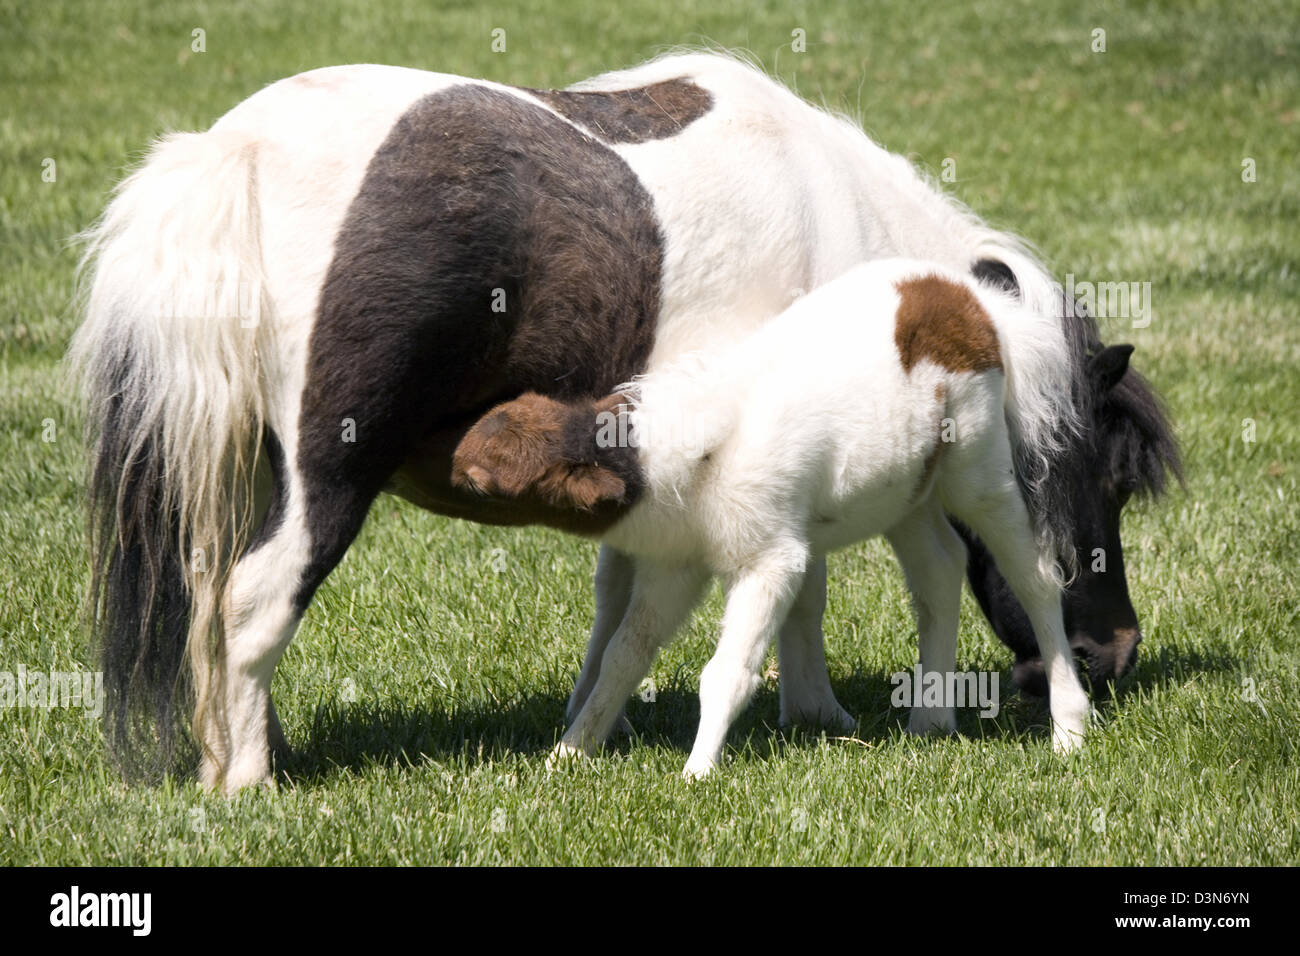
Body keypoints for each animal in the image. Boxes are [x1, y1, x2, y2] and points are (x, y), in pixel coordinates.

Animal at [451, 258, 1106, 776]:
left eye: (485, 481)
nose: (451, 468)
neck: (689, 458)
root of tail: (981, 306)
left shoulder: (770, 562)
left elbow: (727, 671)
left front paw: (696, 772)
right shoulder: (673, 569)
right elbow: (624, 655)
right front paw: (569, 753)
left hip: (979, 473)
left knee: (1035, 576)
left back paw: (1069, 727)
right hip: (907, 496)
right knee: (940, 570)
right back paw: (930, 721)